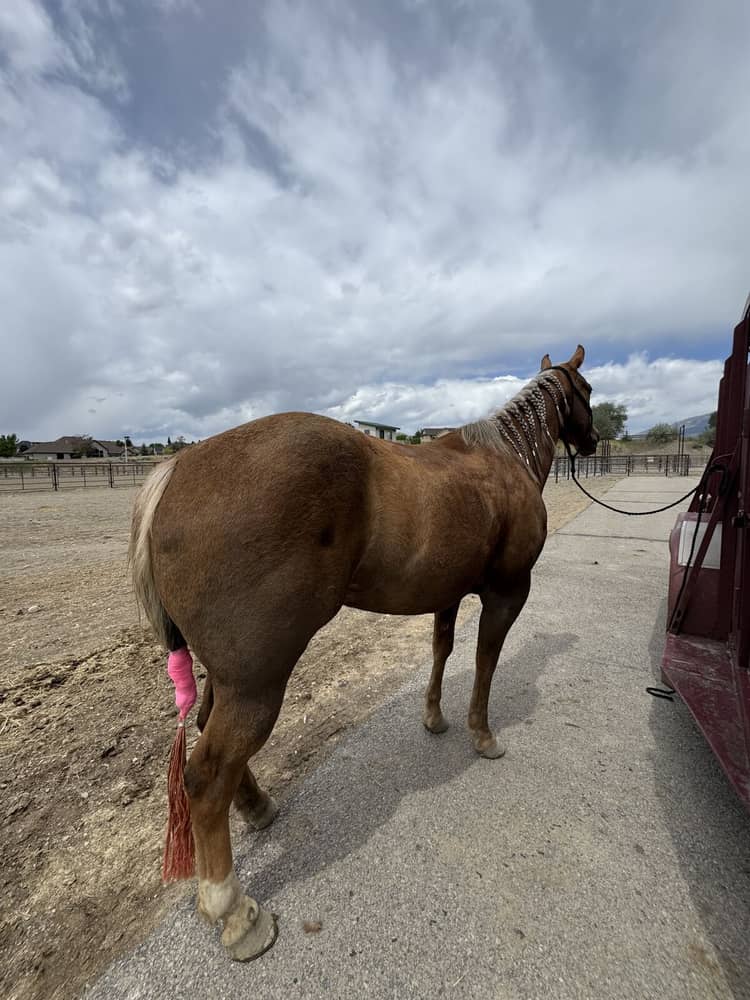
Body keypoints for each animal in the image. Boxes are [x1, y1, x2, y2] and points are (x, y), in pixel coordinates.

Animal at [129, 345, 599, 960]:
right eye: (588, 392)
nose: (595, 442)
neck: (501, 461)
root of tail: (177, 471)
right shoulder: (507, 592)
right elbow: (485, 661)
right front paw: (482, 734)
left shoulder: (448, 593)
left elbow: (443, 649)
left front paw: (434, 717)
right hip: (257, 682)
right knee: (207, 775)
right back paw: (233, 911)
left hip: (232, 677)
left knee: (212, 733)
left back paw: (258, 808)